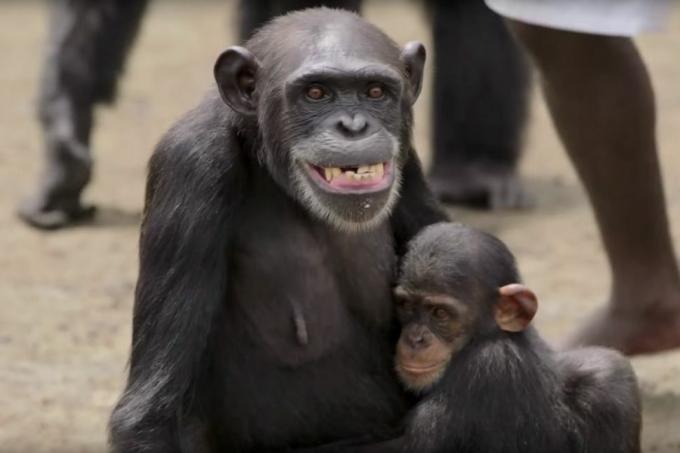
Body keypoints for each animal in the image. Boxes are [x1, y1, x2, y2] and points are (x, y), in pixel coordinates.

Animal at [107, 7, 446, 452]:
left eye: (375, 92)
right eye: (316, 94)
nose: (353, 126)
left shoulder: (409, 161)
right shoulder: (190, 165)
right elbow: (153, 415)